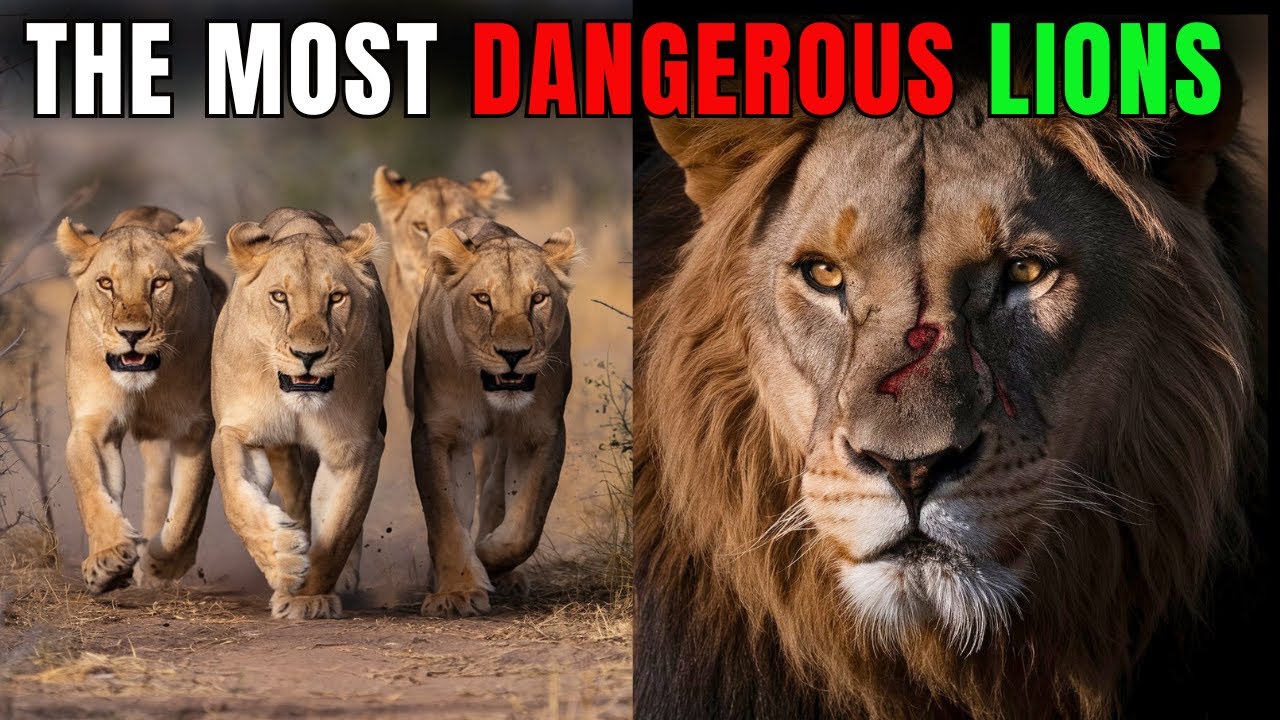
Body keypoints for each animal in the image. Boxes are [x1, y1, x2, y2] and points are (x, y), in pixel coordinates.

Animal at [56, 206, 225, 594]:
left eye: (159, 283)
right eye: (106, 283)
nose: (131, 334)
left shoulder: (197, 430)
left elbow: (188, 510)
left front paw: (164, 563)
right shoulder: (93, 425)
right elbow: (92, 490)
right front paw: (108, 559)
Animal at [211, 208, 392, 620]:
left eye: (336, 298)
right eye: (280, 297)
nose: (308, 355)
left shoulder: (354, 447)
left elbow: (339, 529)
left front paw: (308, 597)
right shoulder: (236, 430)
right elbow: (237, 502)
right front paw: (282, 558)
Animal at [407, 217, 578, 617]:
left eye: (538, 298)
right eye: (483, 299)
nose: (513, 354)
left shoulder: (541, 433)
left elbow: (524, 525)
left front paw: (485, 561)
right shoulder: (438, 434)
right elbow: (445, 517)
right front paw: (456, 591)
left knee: (494, 494)